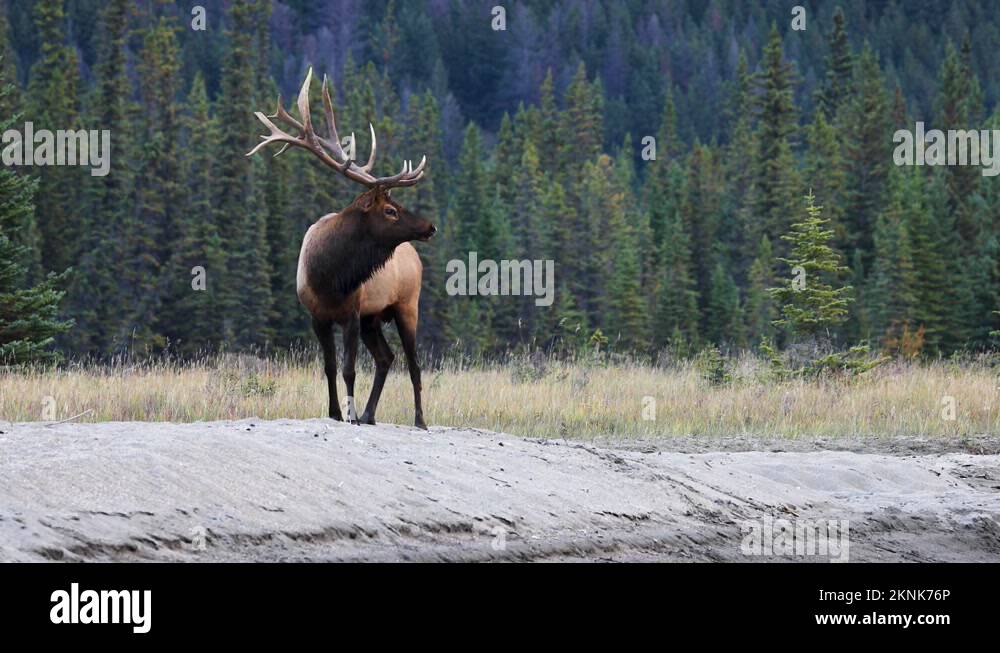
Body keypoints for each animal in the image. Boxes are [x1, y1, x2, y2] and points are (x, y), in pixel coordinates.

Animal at [247, 68, 437, 429]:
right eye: (390, 210)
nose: (430, 226)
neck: (330, 276)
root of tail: (415, 257)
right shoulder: (318, 316)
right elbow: (330, 367)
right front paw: (337, 412)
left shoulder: (351, 313)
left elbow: (349, 369)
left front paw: (350, 416)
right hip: (374, 319)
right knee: (387, 357)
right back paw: (370, 413)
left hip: (407, 305)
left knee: (415, 364)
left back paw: (419, 420)